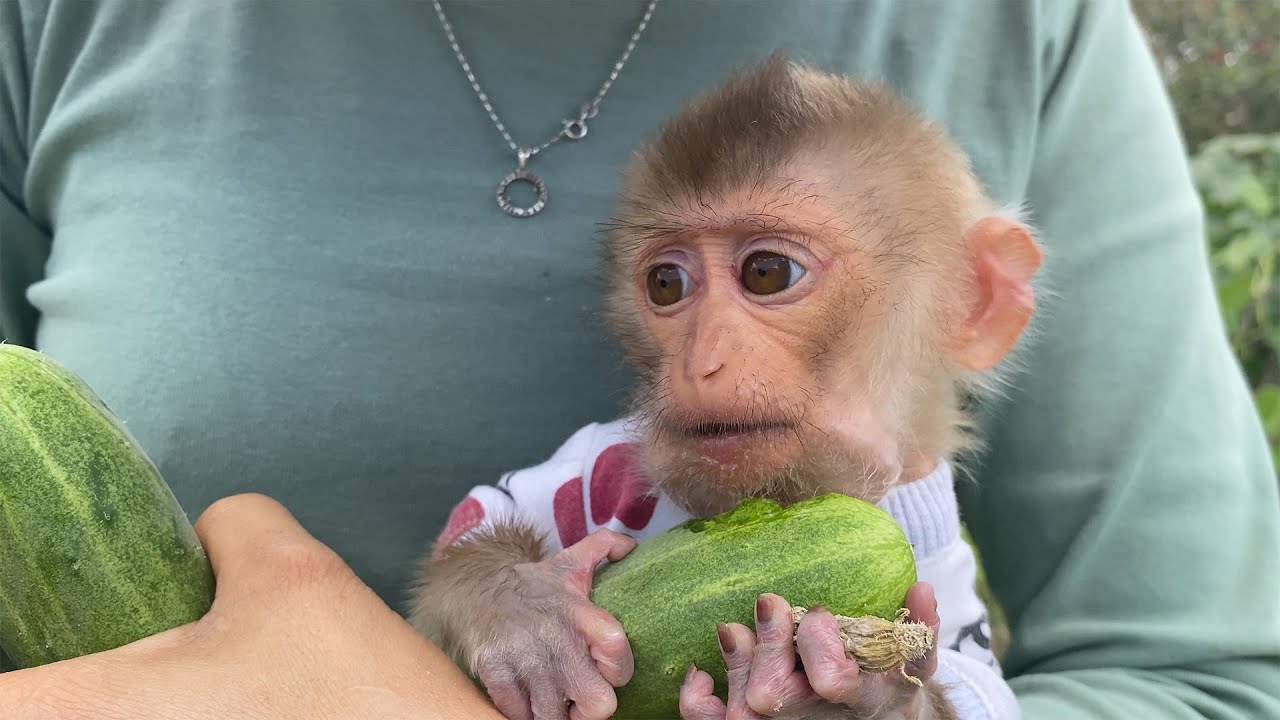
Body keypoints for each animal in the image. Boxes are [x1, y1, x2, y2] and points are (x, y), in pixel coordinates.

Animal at [409, 53, 1042, 720]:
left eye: (767, 272)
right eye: (666, 283)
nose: (699, 360)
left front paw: (840, 696)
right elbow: (477, 519)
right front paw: (521, 612)